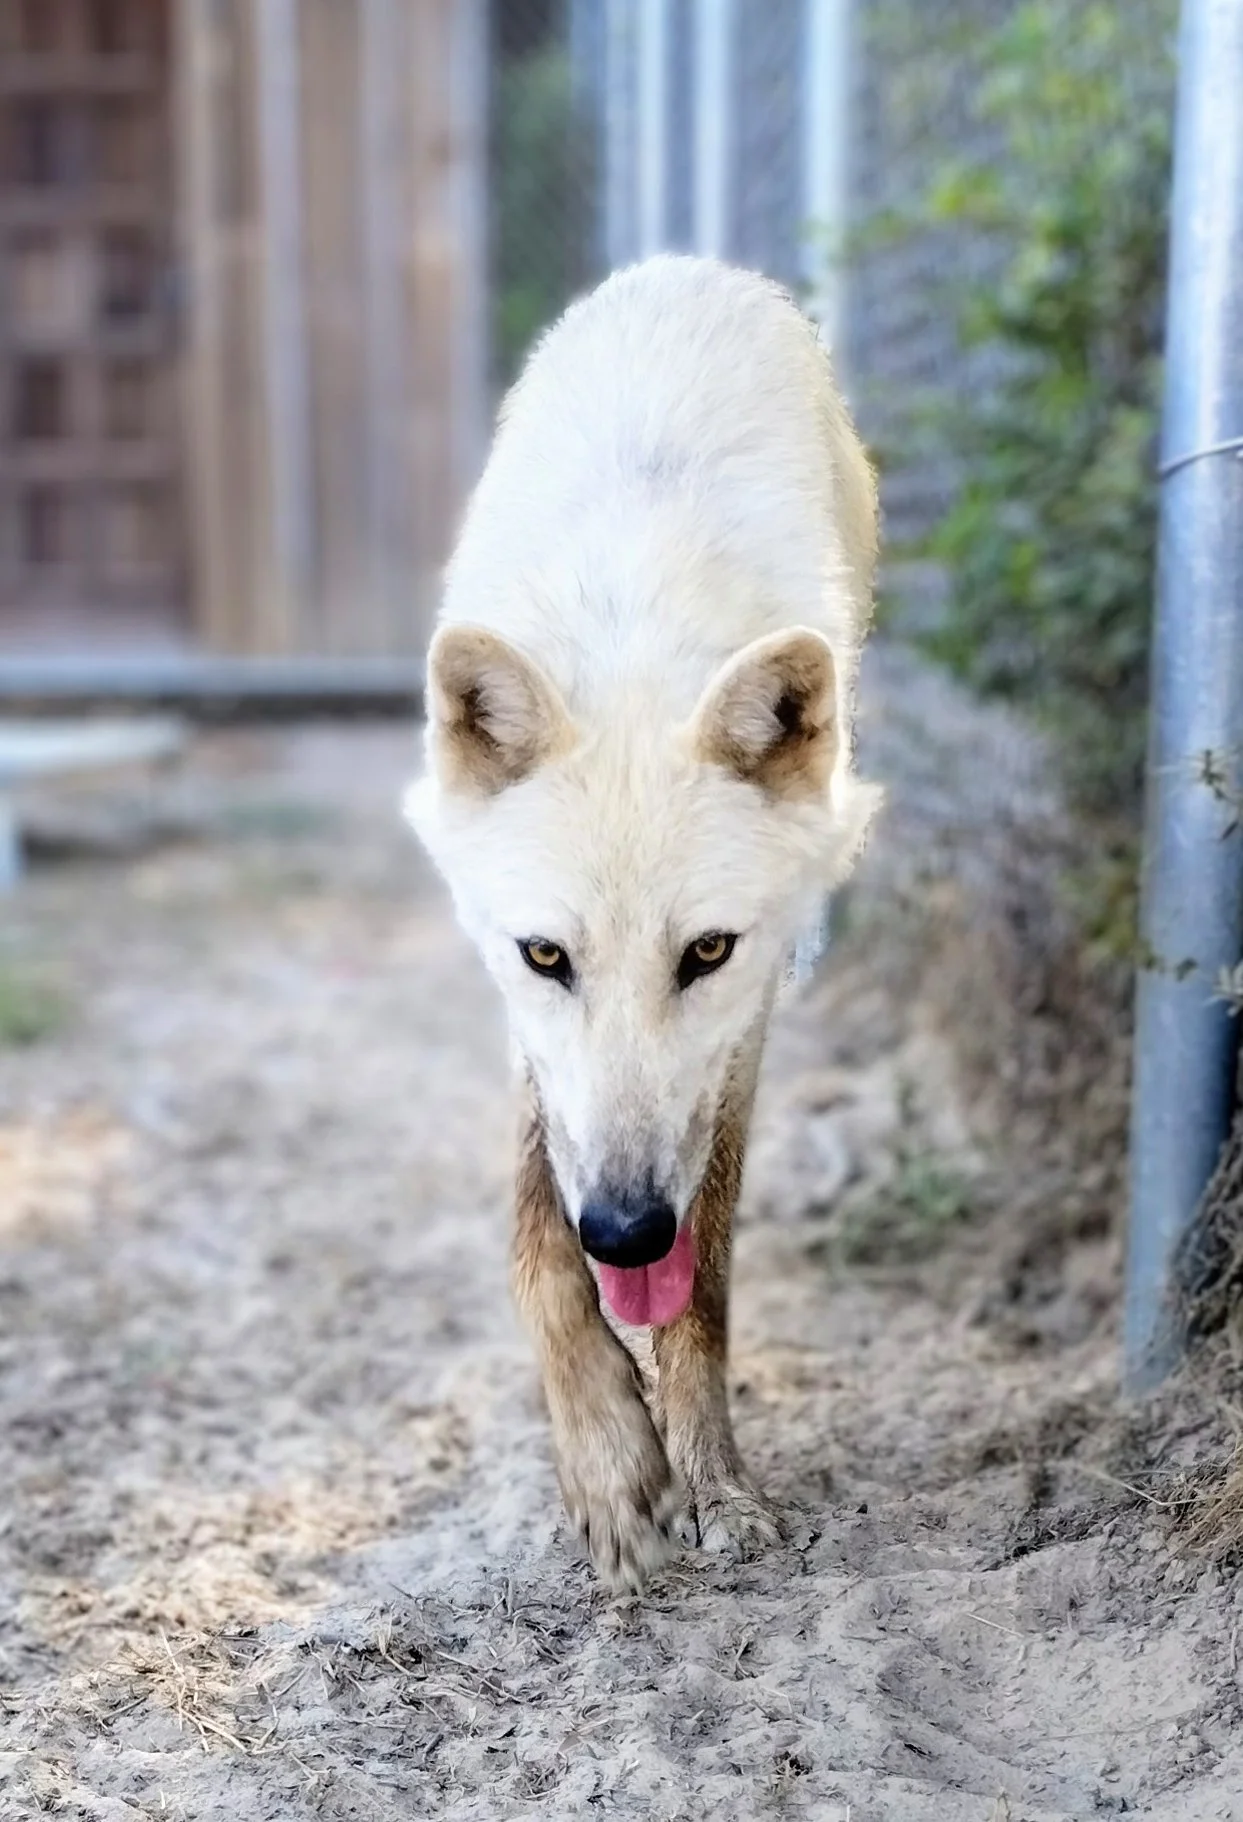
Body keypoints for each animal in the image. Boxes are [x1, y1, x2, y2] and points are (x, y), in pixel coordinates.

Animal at [406, 255, 880, 1591]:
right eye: (546, 955)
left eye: (705, 952)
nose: (623, 1230)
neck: (630, 639)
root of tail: (691, 270)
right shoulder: (523, 1022)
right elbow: (532, 1234)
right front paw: (611, 1462)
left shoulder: (749, 1016)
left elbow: (704, 1274)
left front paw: (711, 1478)